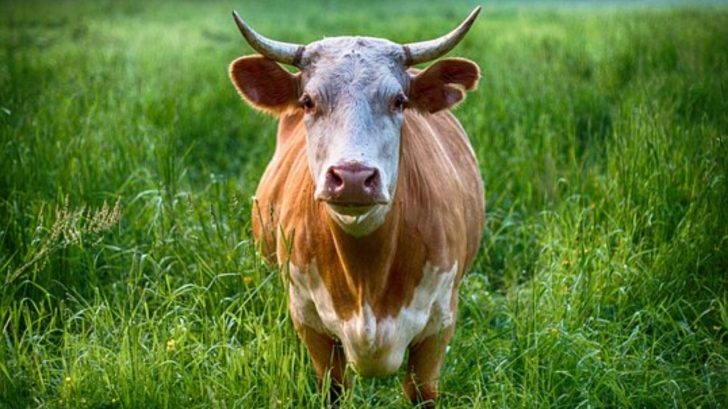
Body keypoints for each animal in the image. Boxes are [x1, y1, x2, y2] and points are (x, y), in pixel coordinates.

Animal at [228, 7, 485, 406]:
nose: (352, 176)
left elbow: (422, 391)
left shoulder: (439, 325)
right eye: (308, 101)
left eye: (399, 101)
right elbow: (333, 388)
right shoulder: (309, 322)